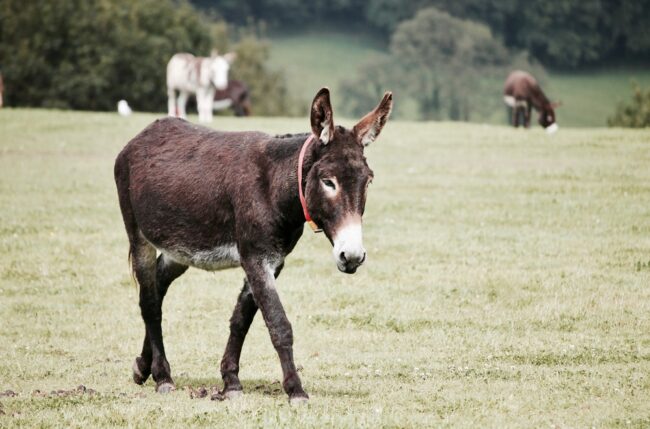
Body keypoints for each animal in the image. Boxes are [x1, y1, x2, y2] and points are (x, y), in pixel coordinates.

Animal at [114, 88, 393, 403]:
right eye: (328, 181)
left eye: (368, 182)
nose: (353, 256)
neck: (274, 186)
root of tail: (145, 133)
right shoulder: (255, 258)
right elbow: (278, 323)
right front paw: (295, 389)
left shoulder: (272, 260)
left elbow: (241, 319)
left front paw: (231, 381)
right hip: (139, 235)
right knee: (149, 302)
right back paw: (162, 375)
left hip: (180, 248)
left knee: (157, 286)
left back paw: (143, 366)